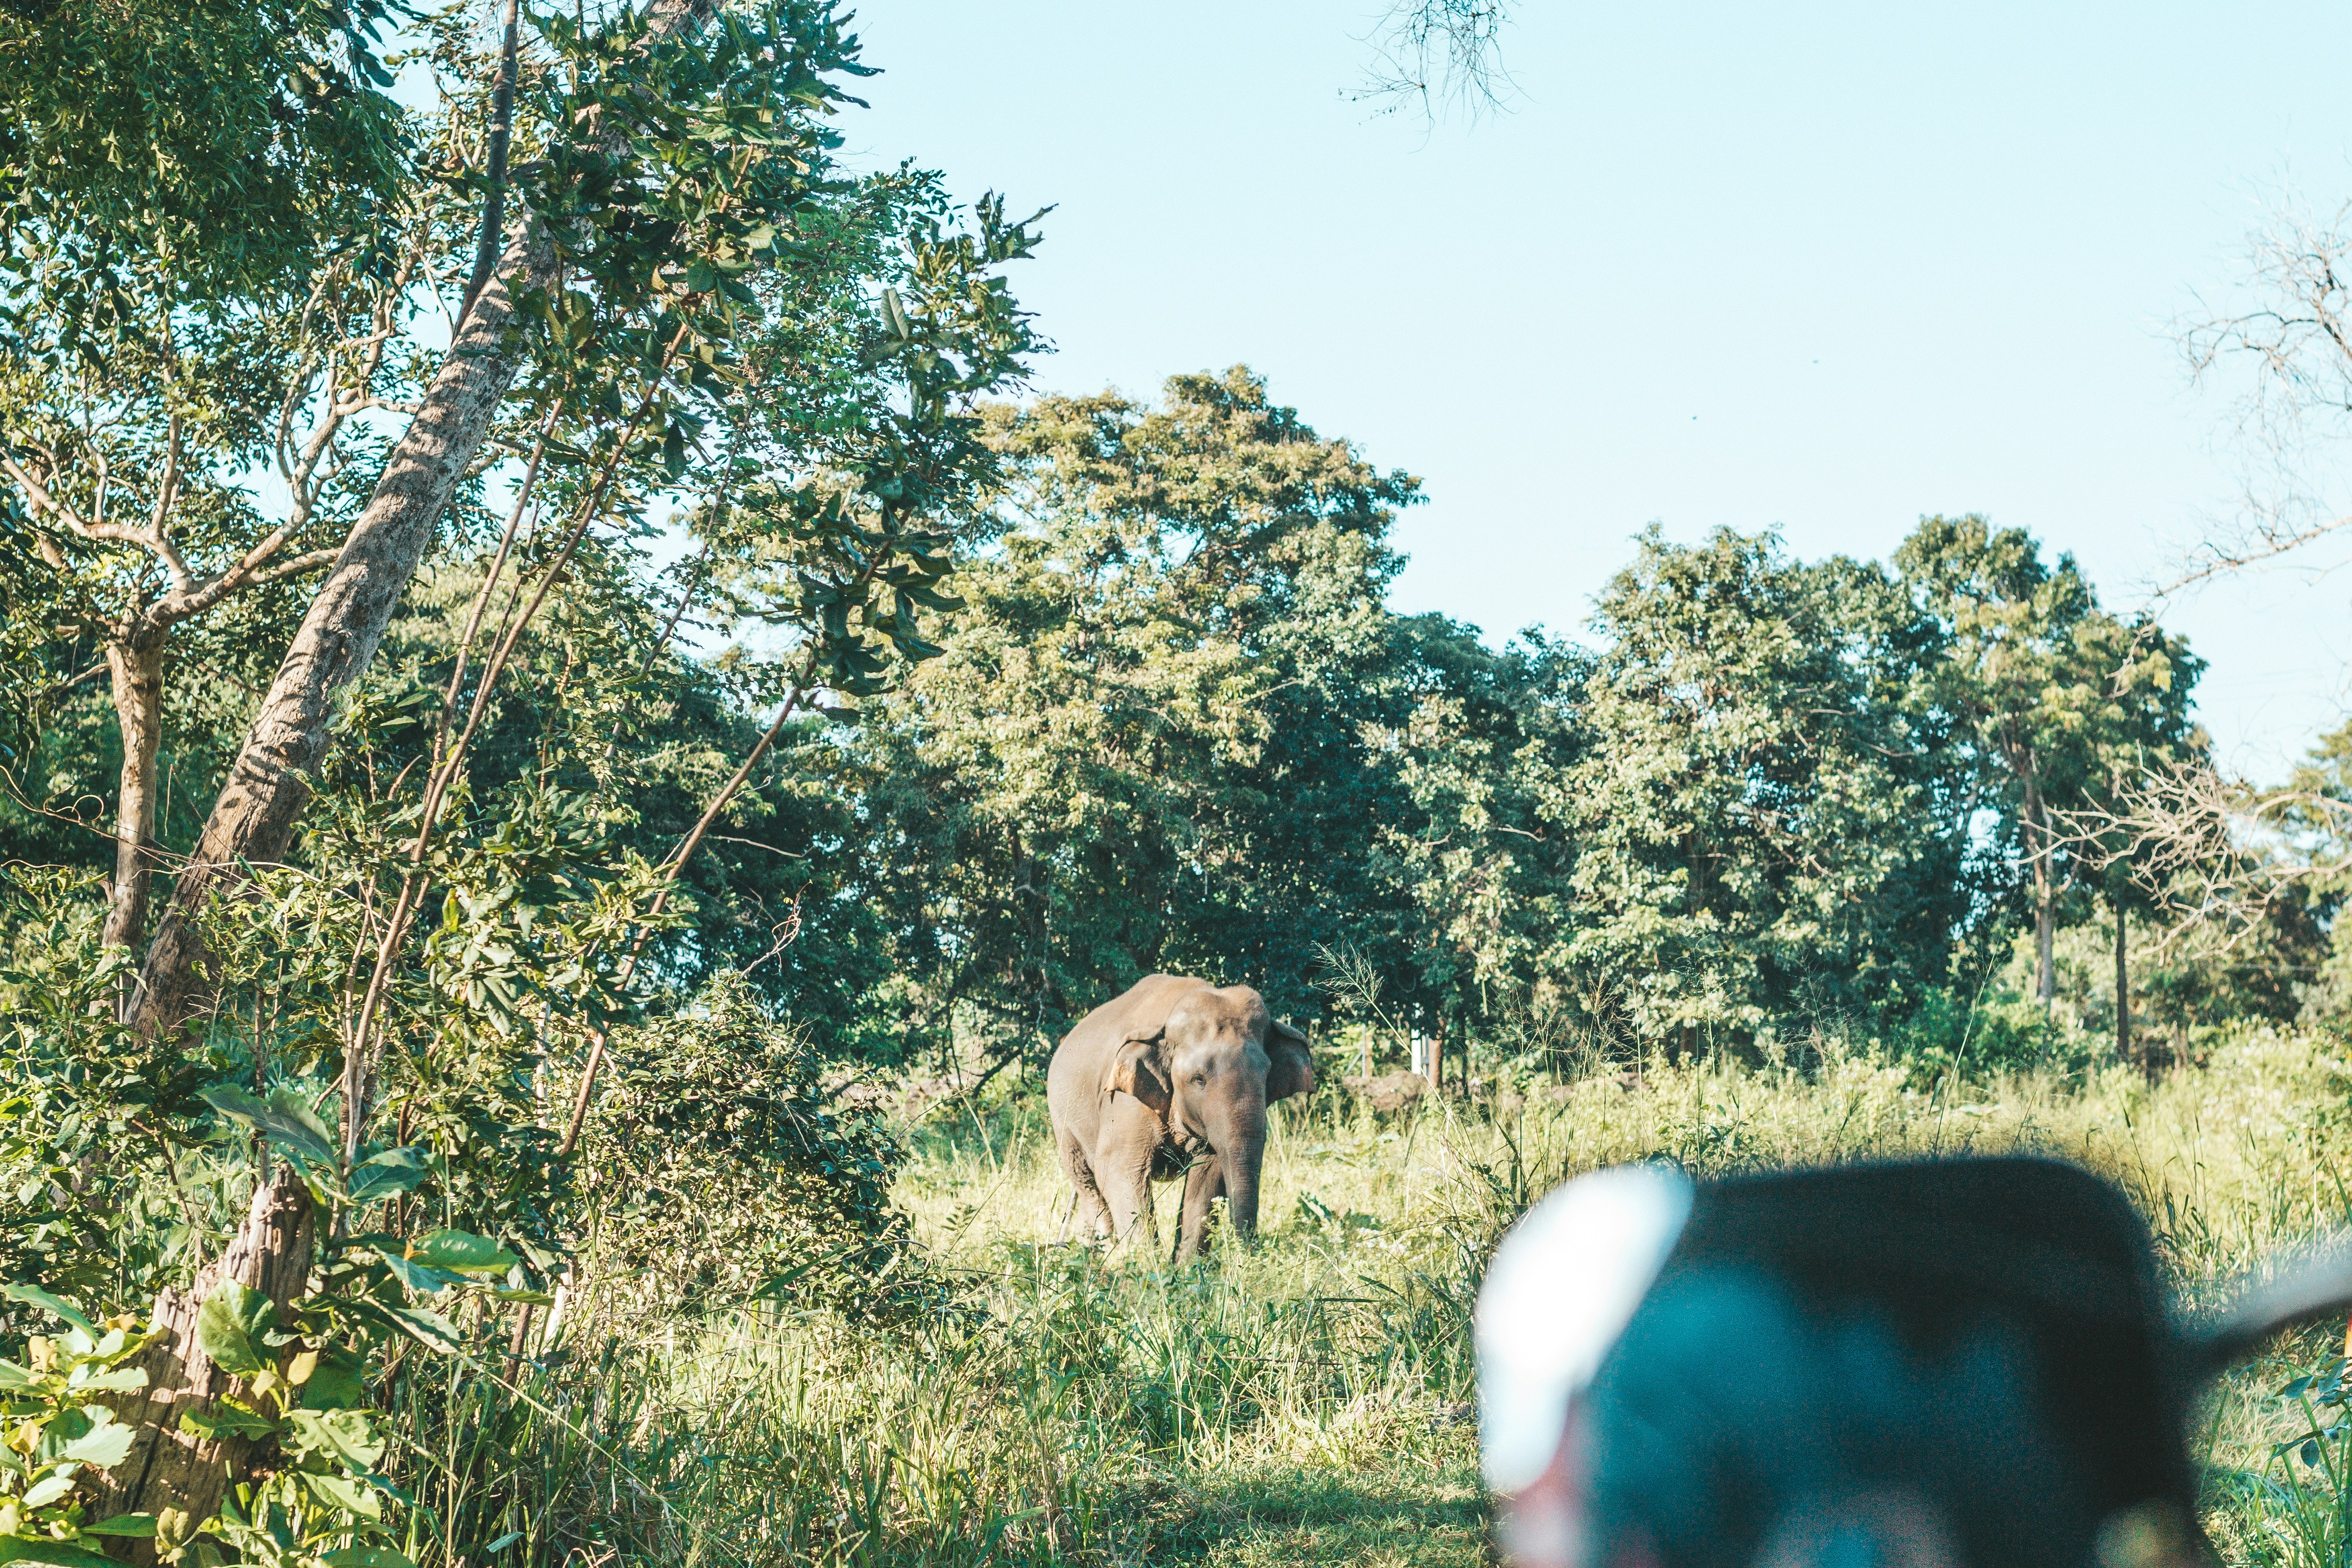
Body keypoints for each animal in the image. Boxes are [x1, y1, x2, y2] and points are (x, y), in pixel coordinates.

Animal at [1046, 973, 1316, 1261]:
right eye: (1199, 1079)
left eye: (1266, 1075)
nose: (1250, 1256)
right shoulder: (1126, 1102)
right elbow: (1120, 1170)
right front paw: (1148, 1267)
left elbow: (1207, 1177)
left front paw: (1187, 1268)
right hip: (1062, 1119)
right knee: (1088, 1184)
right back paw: (1100, 1257)